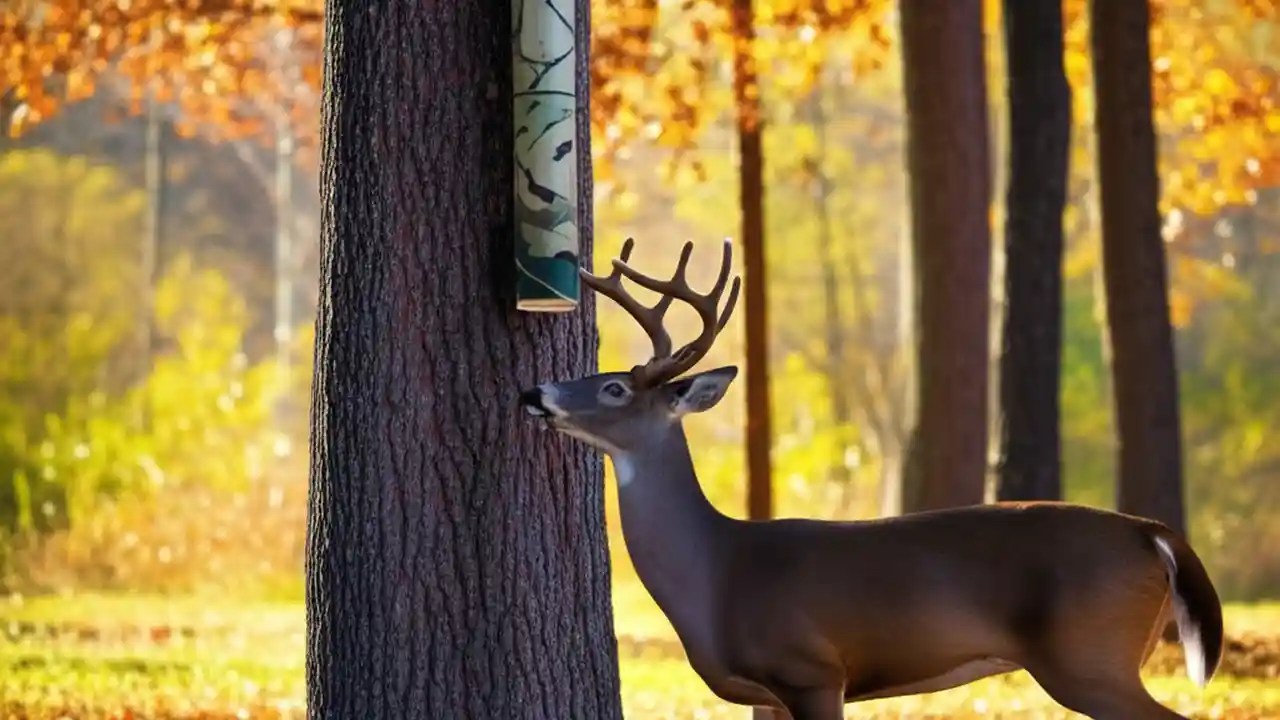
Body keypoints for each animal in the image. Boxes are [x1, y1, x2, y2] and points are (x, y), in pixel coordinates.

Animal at [518, 238, 1224, 720]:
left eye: (613, 387)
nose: (533, 392)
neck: (717, 575)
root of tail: (1152, 532)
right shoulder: (762, 694)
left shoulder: (812, 670)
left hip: (1090, 655)